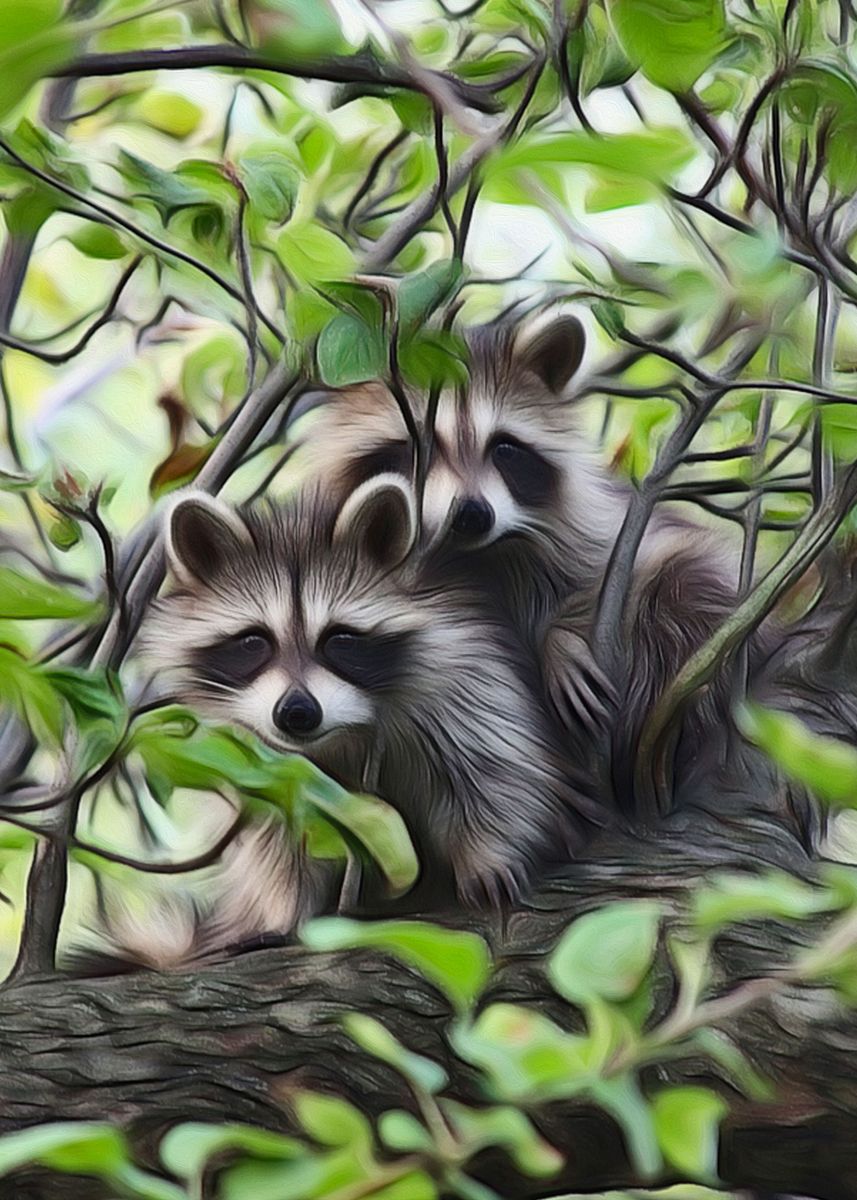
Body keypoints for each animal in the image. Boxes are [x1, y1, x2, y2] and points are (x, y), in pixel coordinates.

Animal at [141, 474, 605, 943]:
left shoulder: (458, 677)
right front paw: (283, 909)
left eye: (339, 638)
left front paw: (489, 854)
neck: (340, 732)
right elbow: (277, 834)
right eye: (254, 641)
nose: (297, 712)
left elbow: (491, 772)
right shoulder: (251, 759)